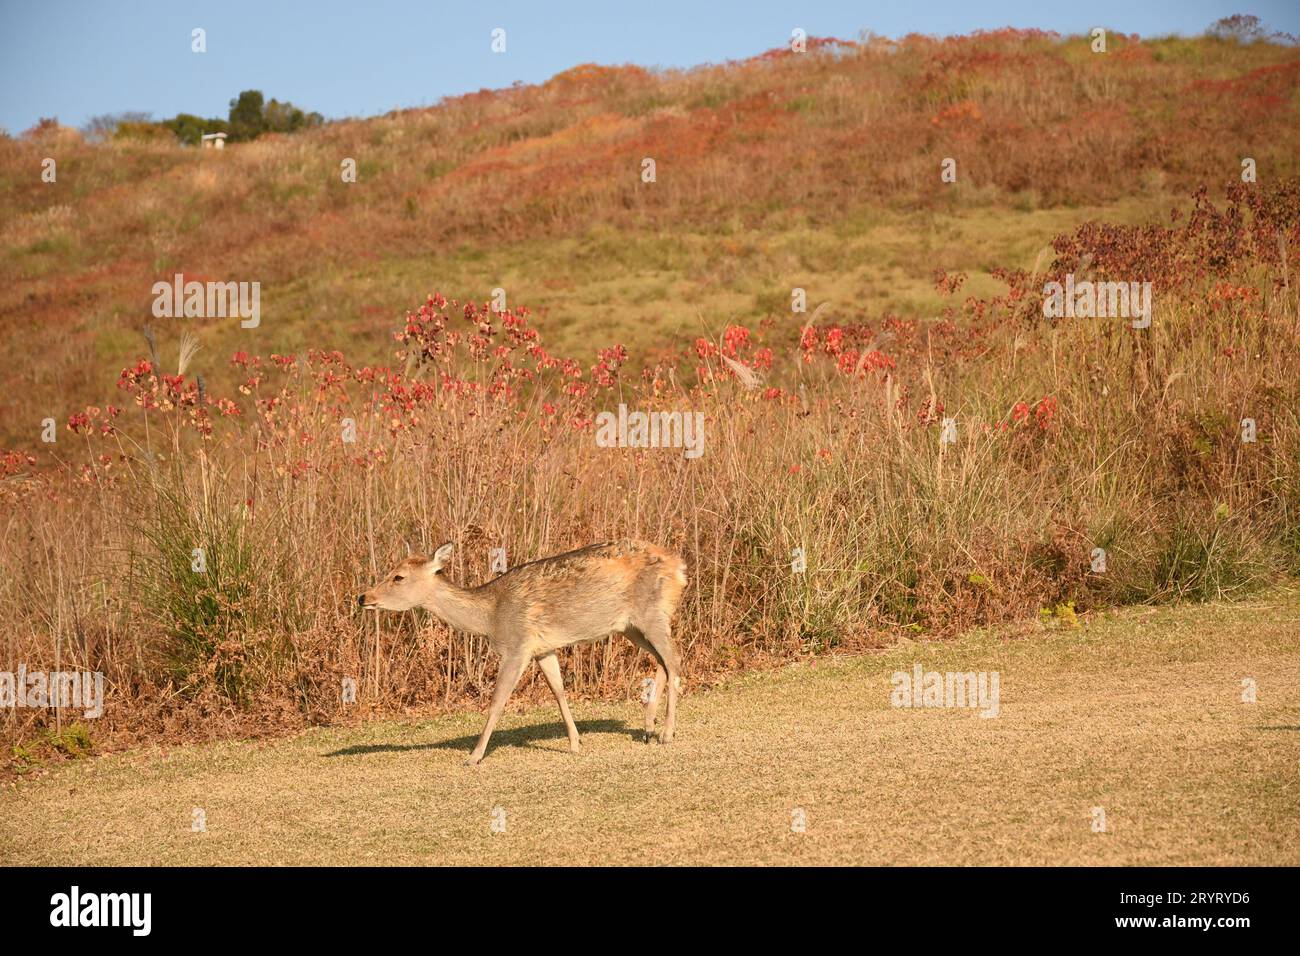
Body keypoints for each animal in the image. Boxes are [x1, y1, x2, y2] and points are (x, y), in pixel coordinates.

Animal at [358, 539, 687, 765]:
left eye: (398, 576)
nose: (363, 597)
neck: (489, 617)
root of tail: (680, 566)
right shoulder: (543, 648)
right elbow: (558, 690)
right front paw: (575, 743)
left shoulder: (516, 646)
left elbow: (497, 700)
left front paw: (474, 756)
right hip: (630, 625)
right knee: (663, 661)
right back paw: (648, 728)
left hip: (651, 612)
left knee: (674, 660)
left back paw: (667, 733)